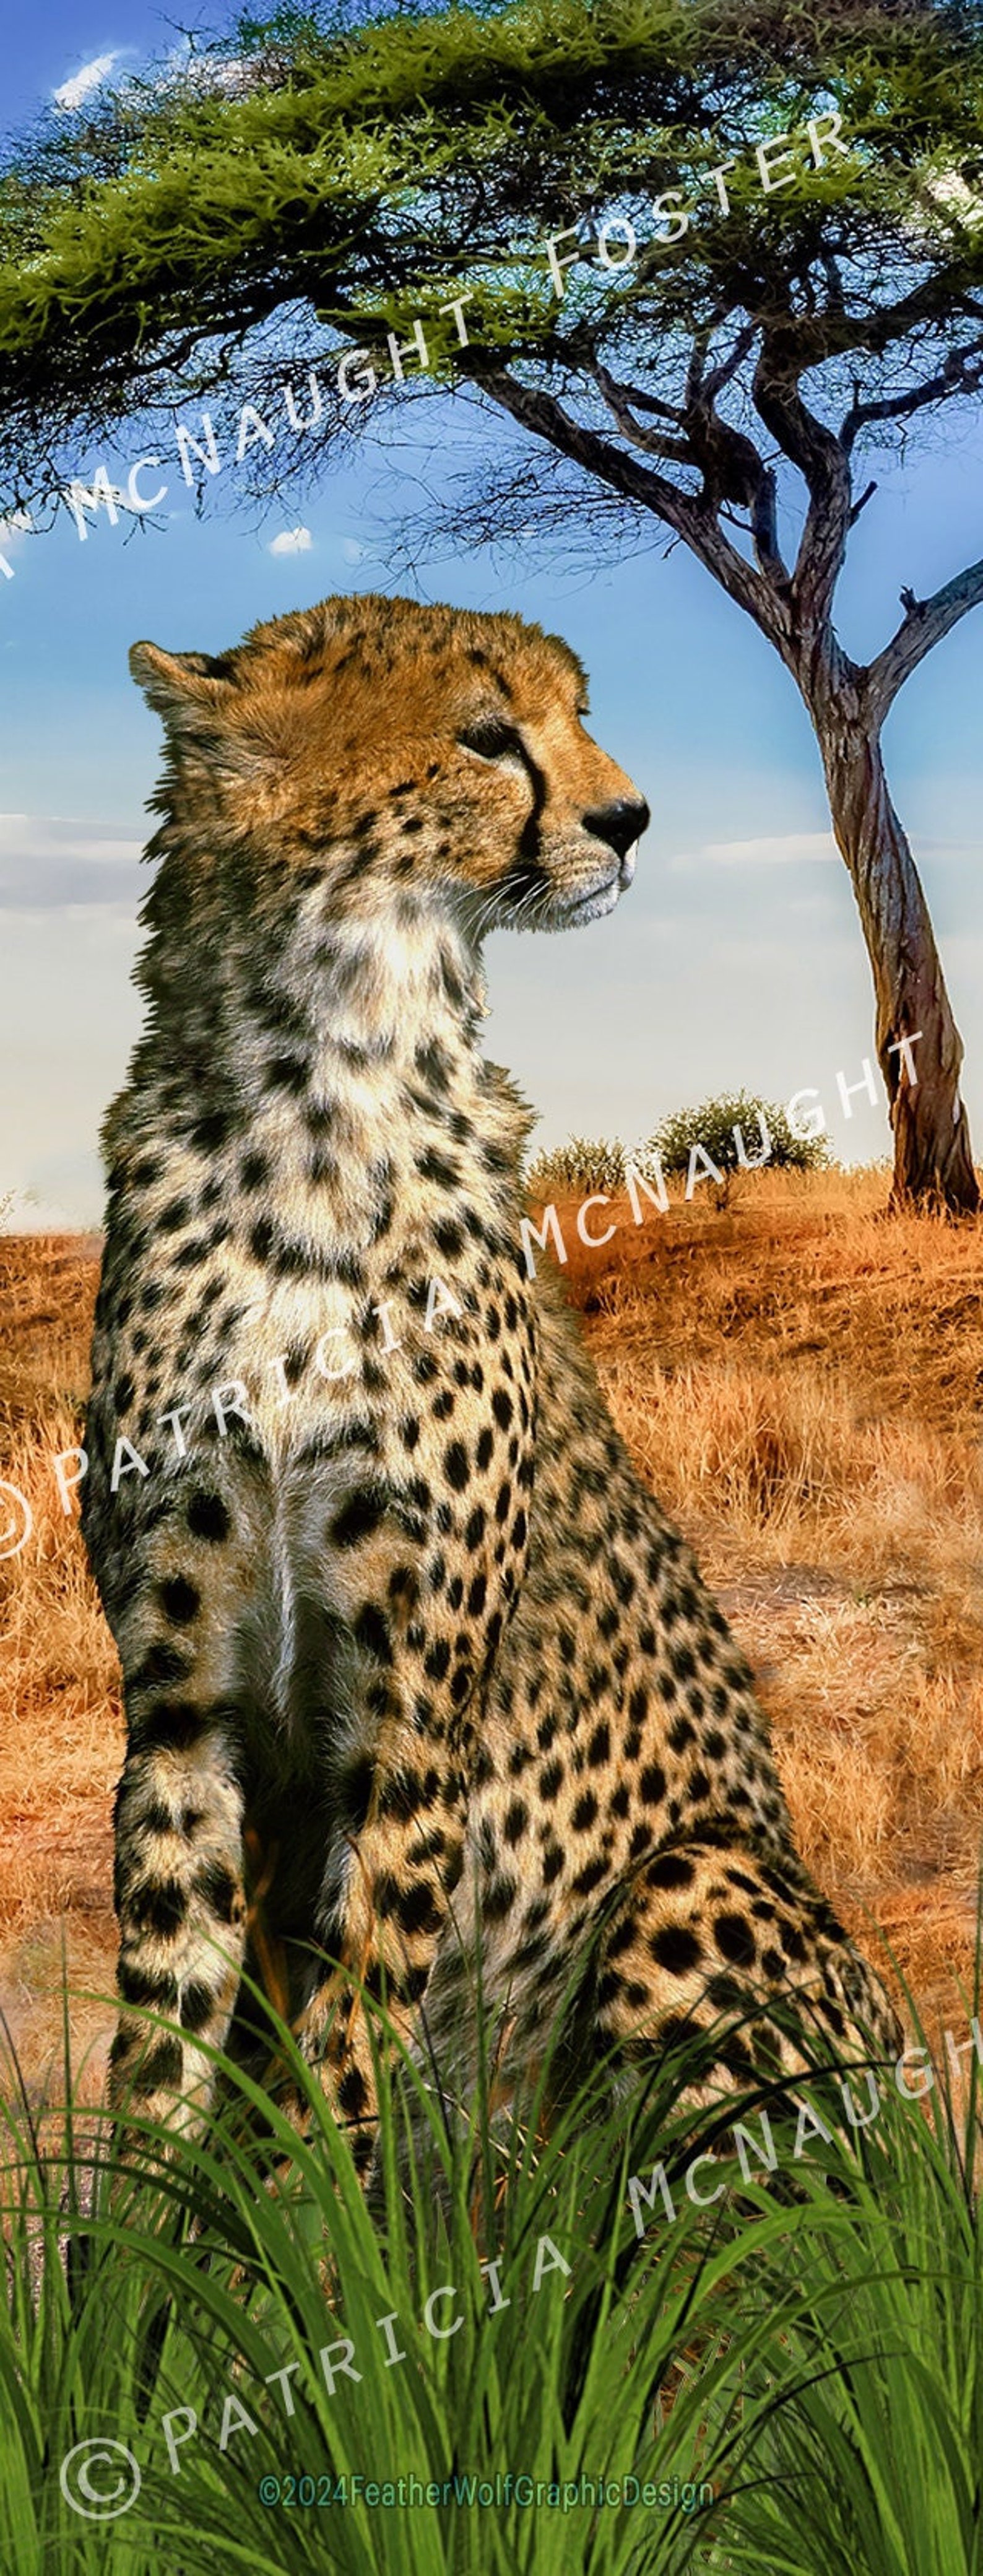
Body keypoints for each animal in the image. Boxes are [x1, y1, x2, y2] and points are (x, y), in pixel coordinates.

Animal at [82, 590, 899, 2177]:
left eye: (576, 713)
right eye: (481, 734)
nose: (629, 817)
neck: (317, 1097)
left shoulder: (414, 1711)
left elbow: (351, 2037)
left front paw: (328, 2226)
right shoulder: (178, 1700)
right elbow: (161, 2039)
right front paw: (141, 2240)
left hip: (696, 1887)